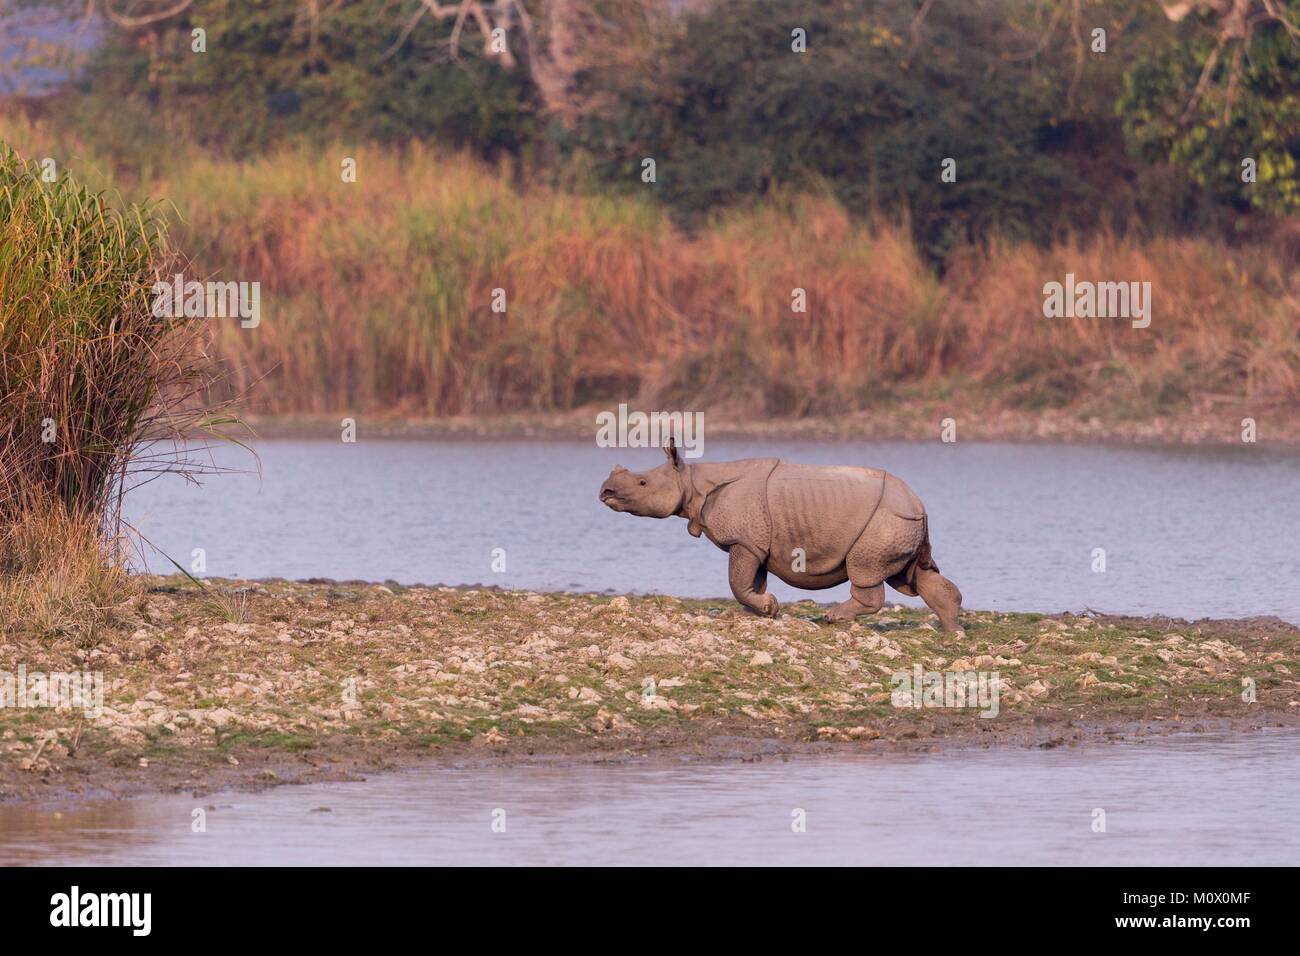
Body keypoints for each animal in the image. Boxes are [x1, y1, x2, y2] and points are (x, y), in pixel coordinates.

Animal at [599, 442, 963, 632]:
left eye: (642, 483)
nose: (605, 491)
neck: (692, 482)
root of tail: (919, 504)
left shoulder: (744, 540)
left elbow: (737, 580)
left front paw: (769, 608)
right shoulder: (755, 542)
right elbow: (751, 580)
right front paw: (759, 612)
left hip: (884, 520)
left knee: (866, 569)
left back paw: (833, 618)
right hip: (900, 522)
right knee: (914, 576)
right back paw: (952, 631)